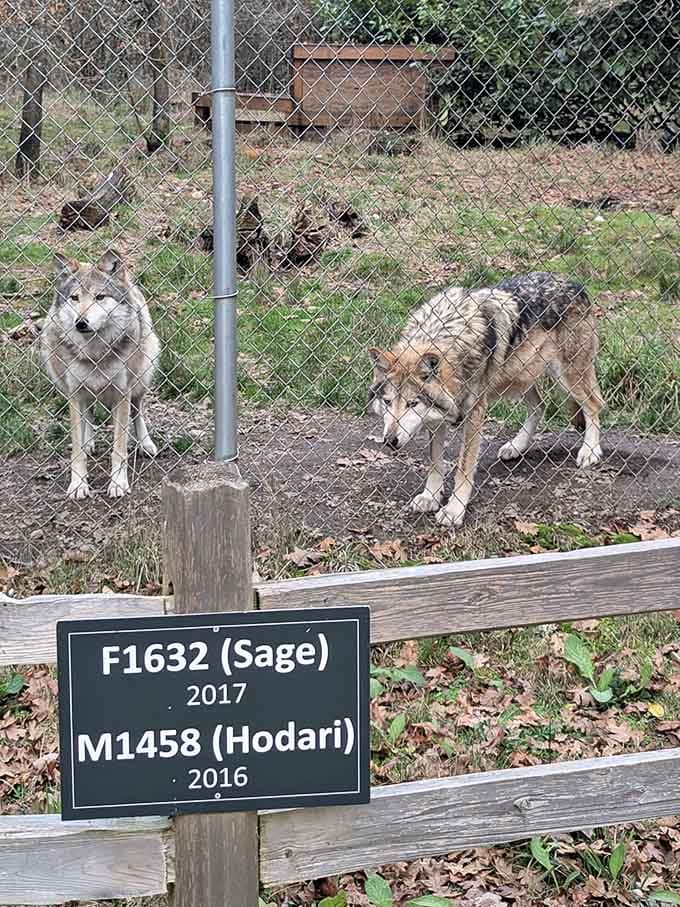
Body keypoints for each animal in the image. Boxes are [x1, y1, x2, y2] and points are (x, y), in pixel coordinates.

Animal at [41, 250, 160, 500]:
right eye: (75, 298)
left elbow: (119, 447)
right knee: (88, 415)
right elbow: (77, 450)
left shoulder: (123, 393)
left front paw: (118, 483)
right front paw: (78, 485)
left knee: (137, 412)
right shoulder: (75, 394)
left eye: (100, 297)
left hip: (141, 378)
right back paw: (89, 442)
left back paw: (145, 444)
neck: (95, 354)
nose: (81, 323)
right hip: (68, 384)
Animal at [368, 272, 603, 529]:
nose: (390, 441)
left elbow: (463, 467)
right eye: (388, 402)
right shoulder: (437, 419)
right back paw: (516, 447)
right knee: (540, 406)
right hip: (521, 377)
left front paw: (454, 510)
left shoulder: (475, 413)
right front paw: (430, 497)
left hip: (566, 377)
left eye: (412, 404)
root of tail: (575, 283)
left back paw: (590, 451)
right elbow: (435, 463)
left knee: (594, 404)